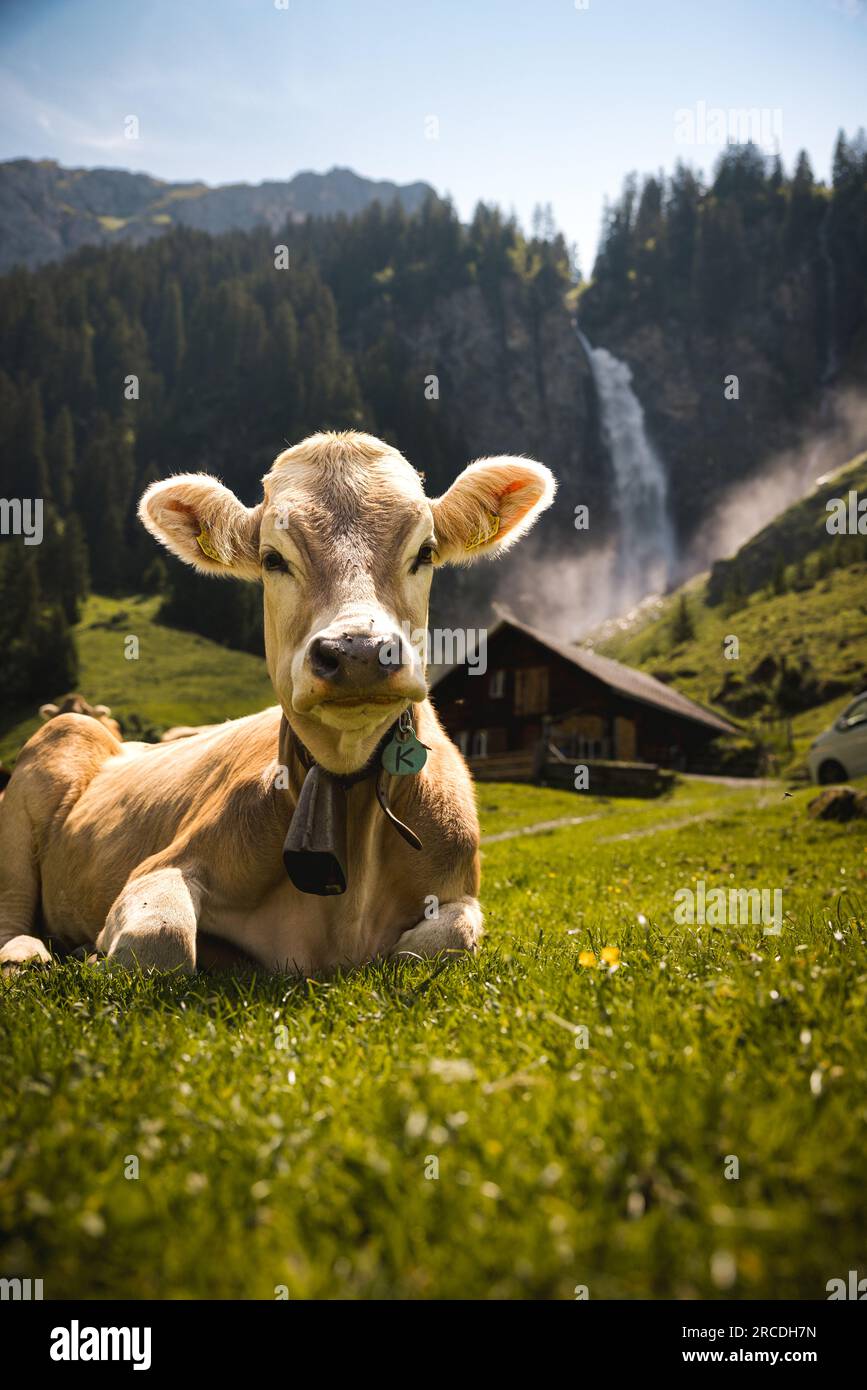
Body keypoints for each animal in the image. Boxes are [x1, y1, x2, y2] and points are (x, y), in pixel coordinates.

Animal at [0, 431, 554, 974]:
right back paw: (26, 953)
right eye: (272, 558)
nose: (358, 651)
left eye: (426, 551)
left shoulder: (458, 889)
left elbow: (446, 938)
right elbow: (161, 940)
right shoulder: (162, 866)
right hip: (46, 761)